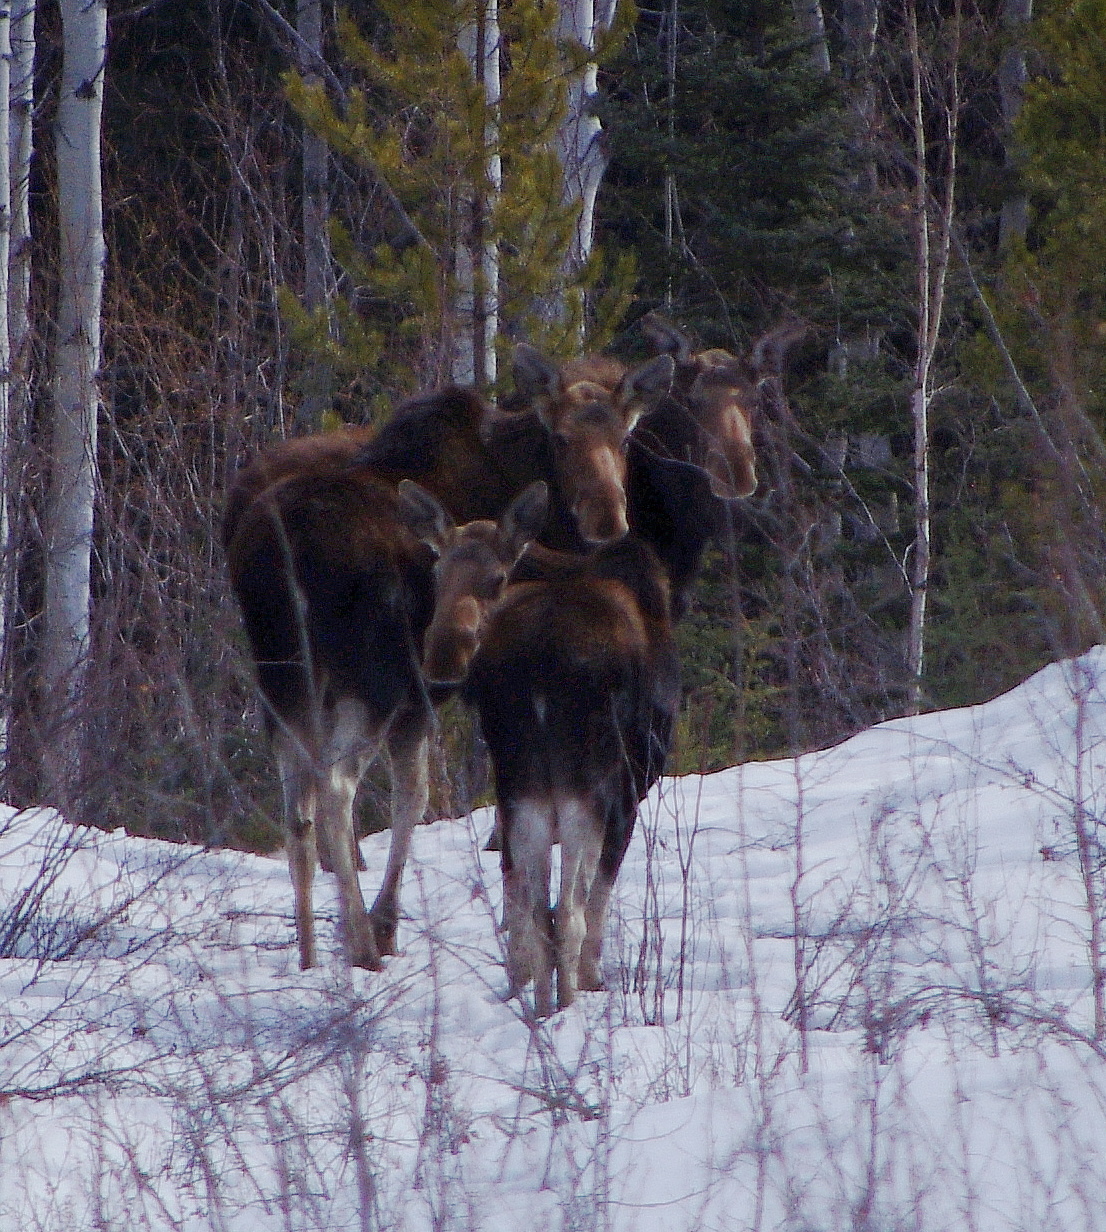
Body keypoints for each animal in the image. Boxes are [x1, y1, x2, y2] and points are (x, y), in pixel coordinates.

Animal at [224, 343, 674, 970]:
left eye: (626, 436)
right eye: (559, 436)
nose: (607, 518)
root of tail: (276, 558)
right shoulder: (424, 686)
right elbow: (418, 799)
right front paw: (388, 924)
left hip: (282, 675)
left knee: (297, 804)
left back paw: (311, 951)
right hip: (369, 678)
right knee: (336, 786)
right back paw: (360, 940)